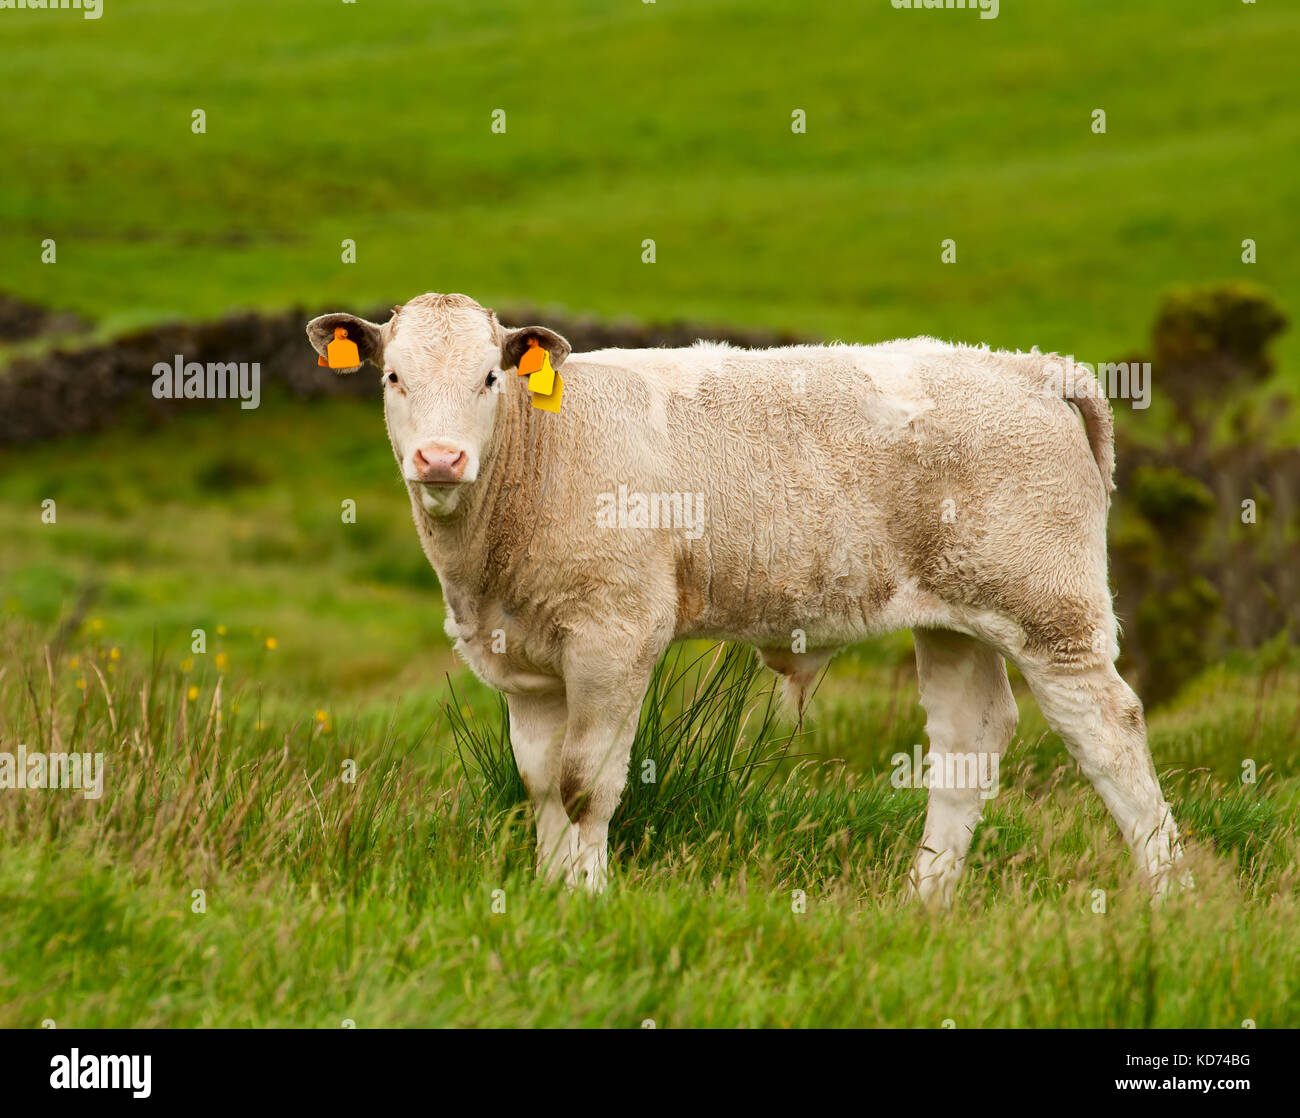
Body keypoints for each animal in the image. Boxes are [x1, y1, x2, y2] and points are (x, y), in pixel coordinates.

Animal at [307, 292, 1187, 903]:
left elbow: (586, 783)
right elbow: (540, 784)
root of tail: (1029, 367)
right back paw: (924, 901)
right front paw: (550, 896)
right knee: (968, 742)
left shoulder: (615, 637)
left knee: (1109, 731)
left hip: (1050, 609)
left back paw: (1168, 892)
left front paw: (589, 901)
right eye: (394, 377)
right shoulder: (523, 665)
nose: (440, 458)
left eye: (489, 377)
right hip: (955, 617)